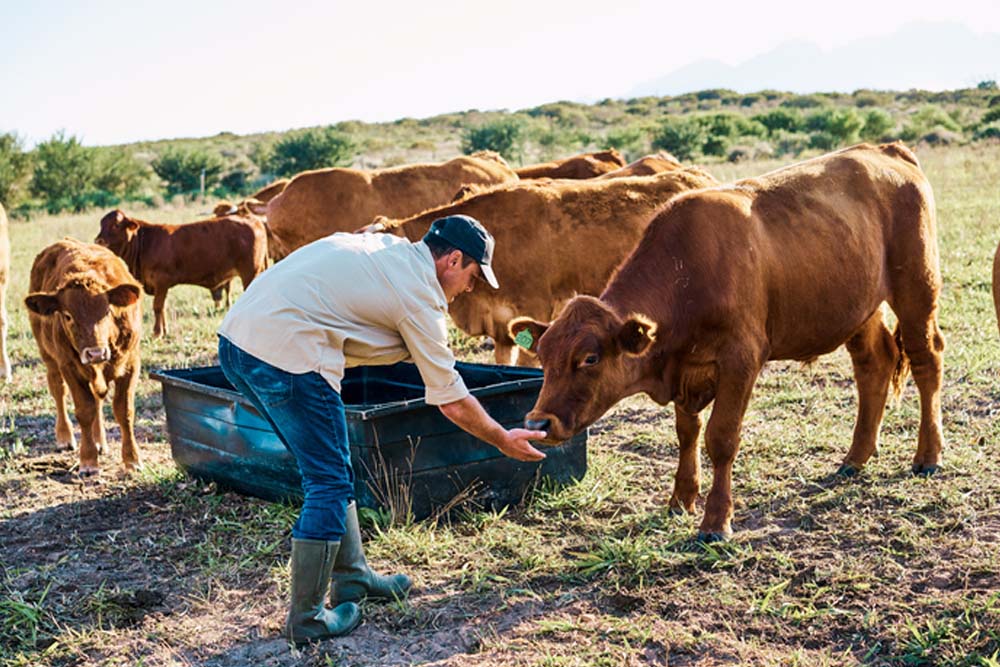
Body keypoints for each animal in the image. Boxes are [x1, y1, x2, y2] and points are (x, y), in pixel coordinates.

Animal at [24, 238, 143, 475]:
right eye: (68, 316)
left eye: (107, 311)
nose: (95, 352)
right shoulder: (69, 366)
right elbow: (84, 410)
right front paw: (88, 461)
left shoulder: (131, 363)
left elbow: (124, 410)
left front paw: (132, 459)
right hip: (49, 358)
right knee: (58, 390)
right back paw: (65, 436)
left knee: (97, 398)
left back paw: (100, 441)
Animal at [95, 209, 268, 337]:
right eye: (101, 224)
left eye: (116, 225)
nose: (99, 241)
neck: (145, 244)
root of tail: (252, 219)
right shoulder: (160, 286)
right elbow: (163, 307)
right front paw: (164, 331)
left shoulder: (161, 281)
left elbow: (157, 306)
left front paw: (157, 333)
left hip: (250, 272)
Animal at [509, 142, 945, 542]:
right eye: (542, 357)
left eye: (590, 358)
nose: (537, 422)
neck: (687, 273)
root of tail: (884, 149)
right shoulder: (686, 368)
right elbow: (687, 433)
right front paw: (680, 500)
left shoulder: (740, 361)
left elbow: (721, 438)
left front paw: (716, 521)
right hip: (860, 309)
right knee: (875, 365)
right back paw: (855, 457)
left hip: (916, 291)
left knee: (927, 361)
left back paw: (927, 455)